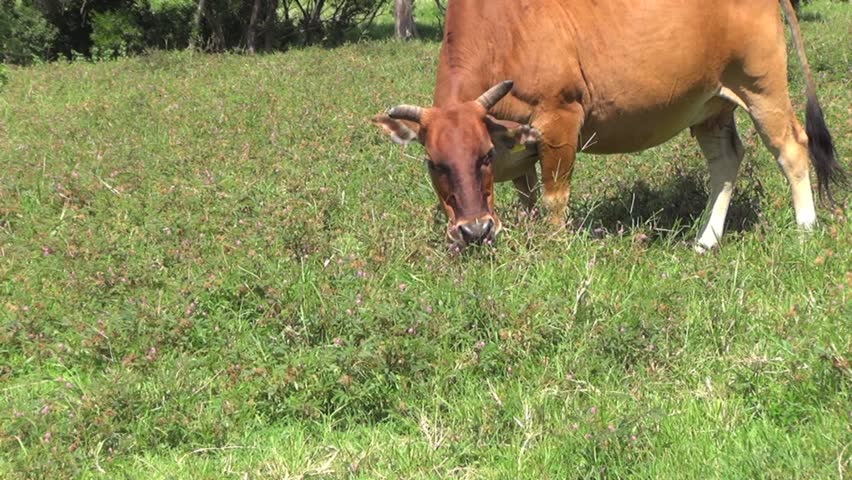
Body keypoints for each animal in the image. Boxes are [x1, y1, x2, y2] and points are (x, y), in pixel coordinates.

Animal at [372, 0, 846, 251]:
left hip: (762, 86)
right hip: (711, 104)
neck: (503, 32)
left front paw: (555, 248)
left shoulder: (559, 120)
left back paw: (806, 229)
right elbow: (526, 199)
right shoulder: (519, 141)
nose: (474, 230)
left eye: (485, 154)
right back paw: (706, 240)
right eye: (434, 163)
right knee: (727, 160)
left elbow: (553, 199)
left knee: (792, 147)